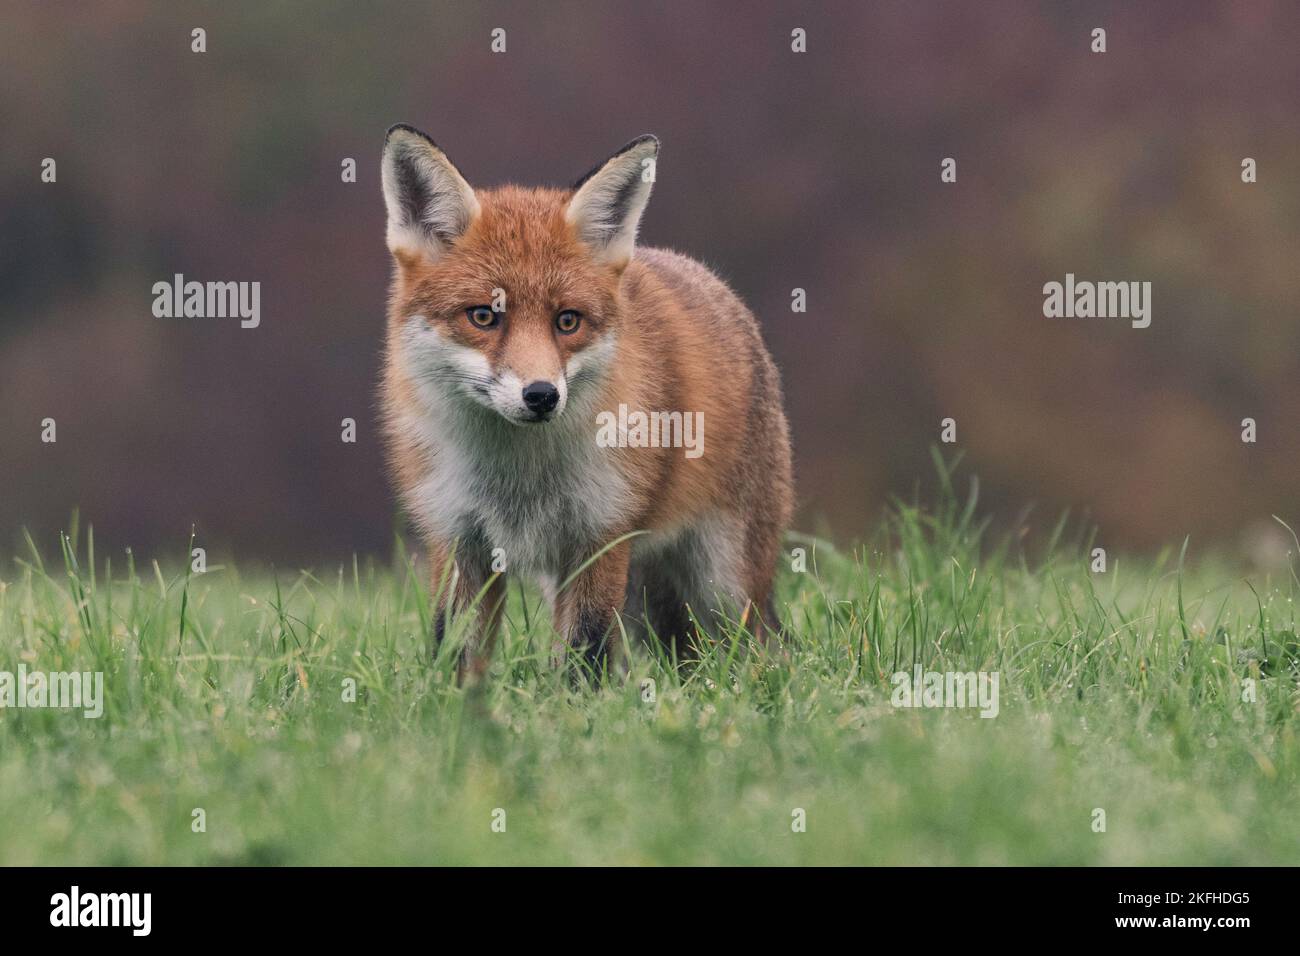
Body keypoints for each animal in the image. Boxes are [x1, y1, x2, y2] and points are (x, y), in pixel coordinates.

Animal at [378, 125, 793, 679]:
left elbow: (585, 652)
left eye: (567, 321)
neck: (519, 477)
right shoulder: (459, 537)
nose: (541, 395)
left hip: (723, 583)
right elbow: (456, 649)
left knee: (757, 646)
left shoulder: (600, 535)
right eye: (484, 316)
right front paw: (454, 700)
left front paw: (574, 702)